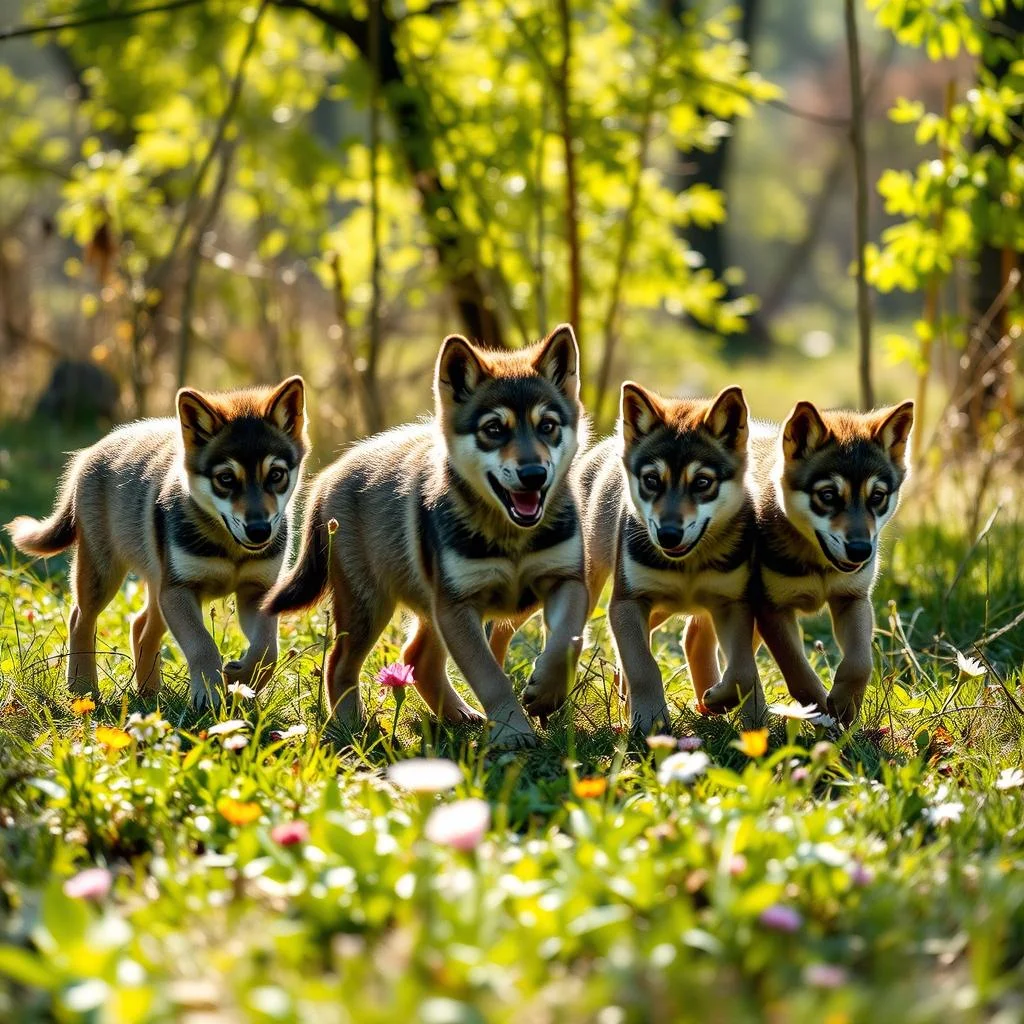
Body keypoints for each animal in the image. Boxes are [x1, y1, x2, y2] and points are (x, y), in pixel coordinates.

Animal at [6, 377, 308, 706]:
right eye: (225, 478)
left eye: (276, 474)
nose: (259, 531)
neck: (230, 549)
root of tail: (91, 452)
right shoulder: (179, 590)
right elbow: (202, 644)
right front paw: (208, 694)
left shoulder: (258, 590)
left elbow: (267, 650)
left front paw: (239, 678)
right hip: (104, 572)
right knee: (80, 618)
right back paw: (83, 687)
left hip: (156, 585)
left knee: (141, 626)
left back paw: (148, 693)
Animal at [263, 325, 588, 747]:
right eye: (493, 430)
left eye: (547, 426)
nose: (534, 474)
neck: (510, 535)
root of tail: (329, 476)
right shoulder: (458, 605)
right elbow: (492, 677)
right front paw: (513, 732)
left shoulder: (566, 580)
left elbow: (567, 640)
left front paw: (545, 693)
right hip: (371, 605)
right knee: (341, 662)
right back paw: (352, 726)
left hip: (443, 608)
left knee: (417, 658)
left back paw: (459, 715)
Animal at [751, 400, 914, 725]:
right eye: (827, 495)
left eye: (877, 496)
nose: (861, 551)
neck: (819, 564)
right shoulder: (771, 609)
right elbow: (796, 668)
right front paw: (818, 711)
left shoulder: (853, 598)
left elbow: (859, 663)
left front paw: (843, 706)